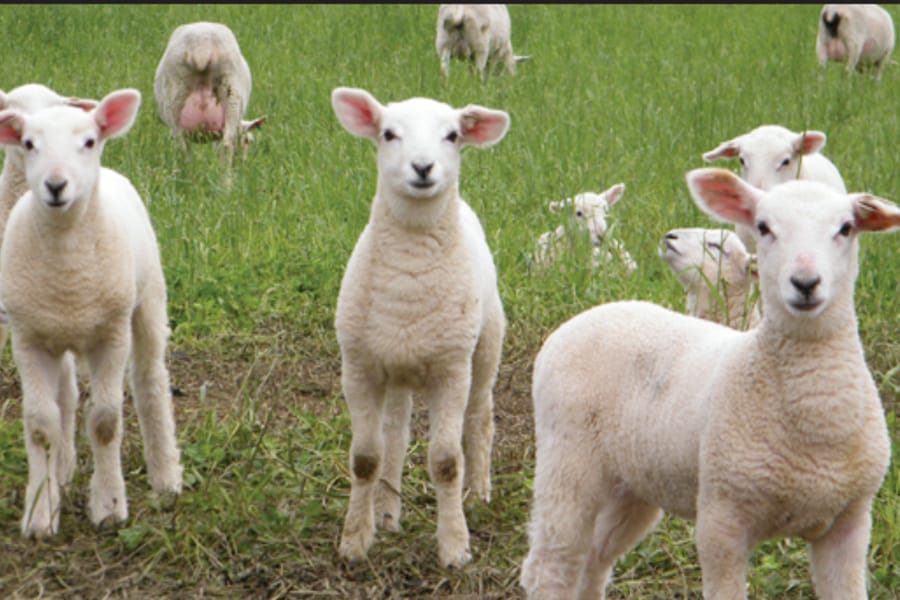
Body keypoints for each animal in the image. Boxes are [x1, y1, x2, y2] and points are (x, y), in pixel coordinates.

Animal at [0, 88, 183, 539]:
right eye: (28, 143)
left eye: (87, 141)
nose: (55, 185)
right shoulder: (28, 339)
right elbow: (41, 425)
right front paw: (40, 512)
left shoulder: (111, 335)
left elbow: (105, 421)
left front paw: (110, 506)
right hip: (59, 334)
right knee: (66, 397)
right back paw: (63, 473)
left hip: (148, 301)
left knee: (150, 380)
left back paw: (166, 476)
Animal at [153, 21, 266, 182]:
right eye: (247, 141)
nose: (243, 165)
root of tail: (202, 46)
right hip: (231, 94)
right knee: (225, 145)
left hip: (175, 97)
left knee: (183, 148)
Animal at [330, 86, 509, 568]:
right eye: (389, 134)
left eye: (452, 135)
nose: (424, 167)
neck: (409, 277)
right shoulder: (359, 367)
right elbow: (365, 458)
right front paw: (356, 540)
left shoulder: (450, 369)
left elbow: (446, 461)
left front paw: (455, 547)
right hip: (397, 369)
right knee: (395, 435)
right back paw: (388, 513)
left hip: (485, 345)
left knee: (480, 417)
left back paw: (477, 493)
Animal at [520, 167, 897, 599]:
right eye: (763, 227)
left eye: (846, 228)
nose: (805, 282)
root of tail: (581, 318)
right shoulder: (721, 520)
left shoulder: (850, 524)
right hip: (567, 459)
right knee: (551, 566)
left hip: (631, 481)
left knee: (595, 558)